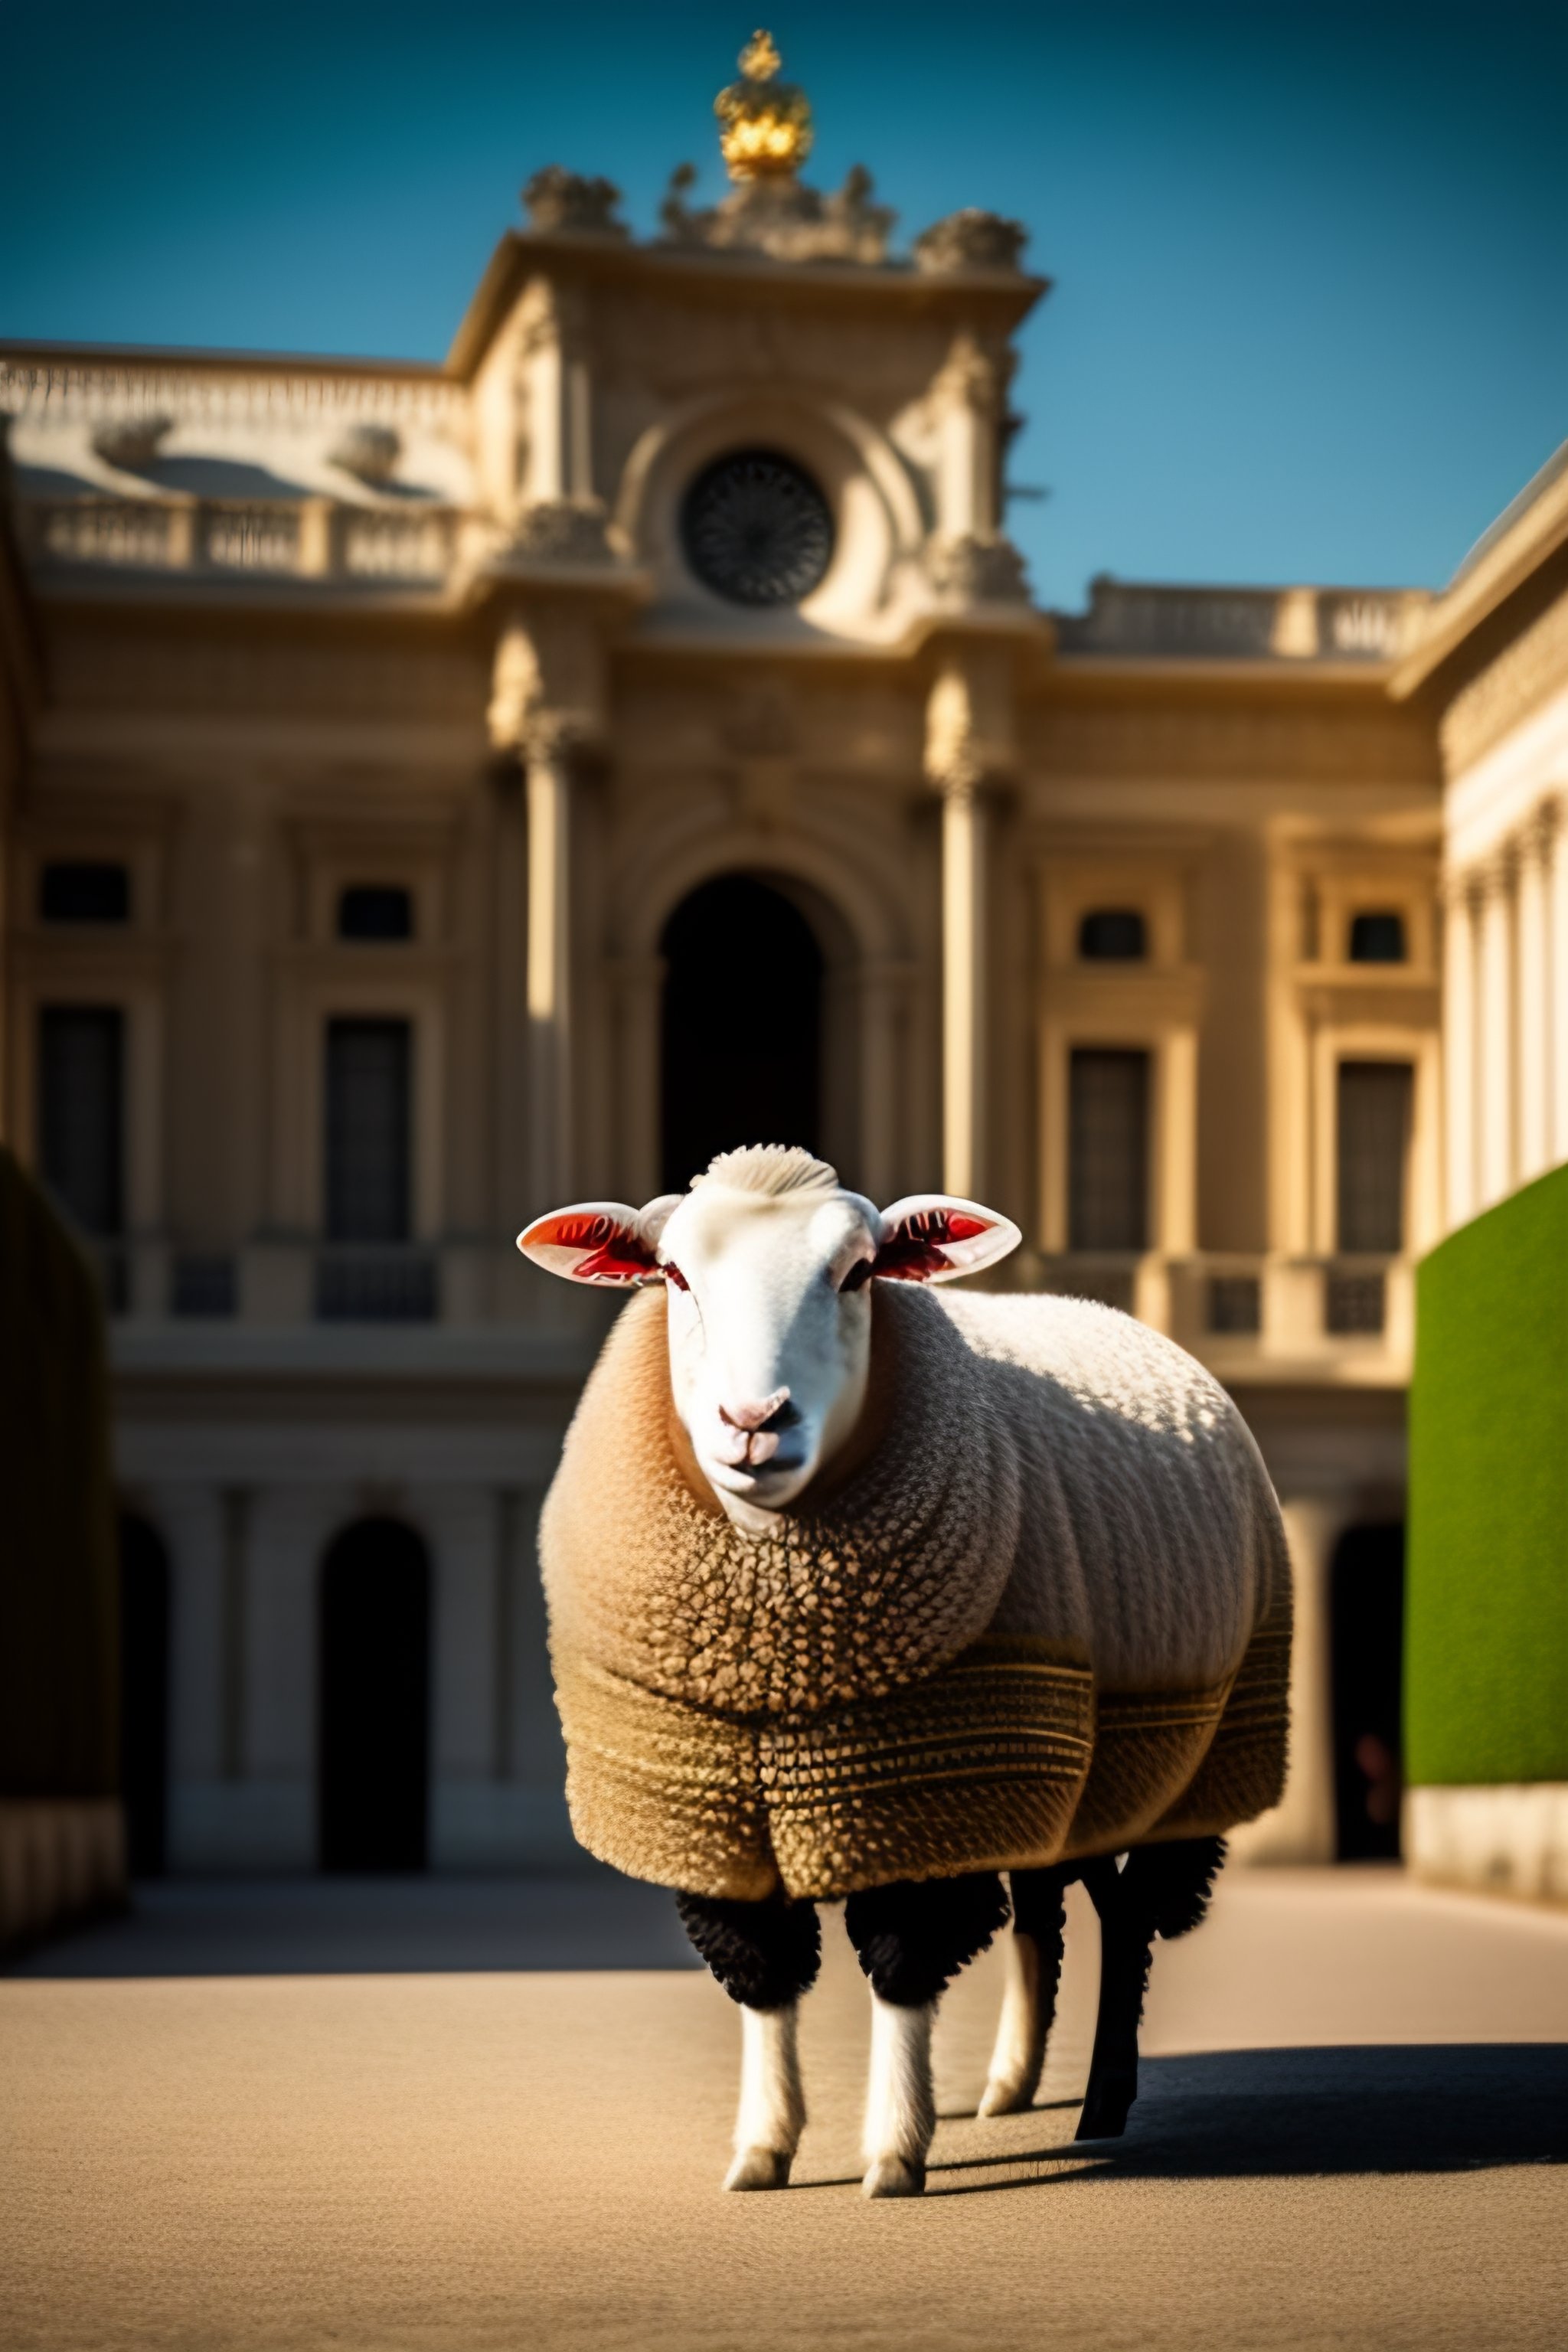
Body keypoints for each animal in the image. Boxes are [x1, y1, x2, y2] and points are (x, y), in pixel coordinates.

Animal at [520, 1145, 1291, 2197]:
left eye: (858, 1273)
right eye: (672, 1274)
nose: (752, 1420)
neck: (771, 1654)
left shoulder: (927, 1798)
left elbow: (900, 1968)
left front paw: (891, 2154)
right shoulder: (710, 1814)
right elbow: (761, 1975)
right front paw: (761, 2151)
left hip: (1176, 1773)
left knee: (1127, 1920)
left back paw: (1102, 2104)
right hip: (1062, 1774)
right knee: (1047, 1914)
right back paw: (1009, 2088)